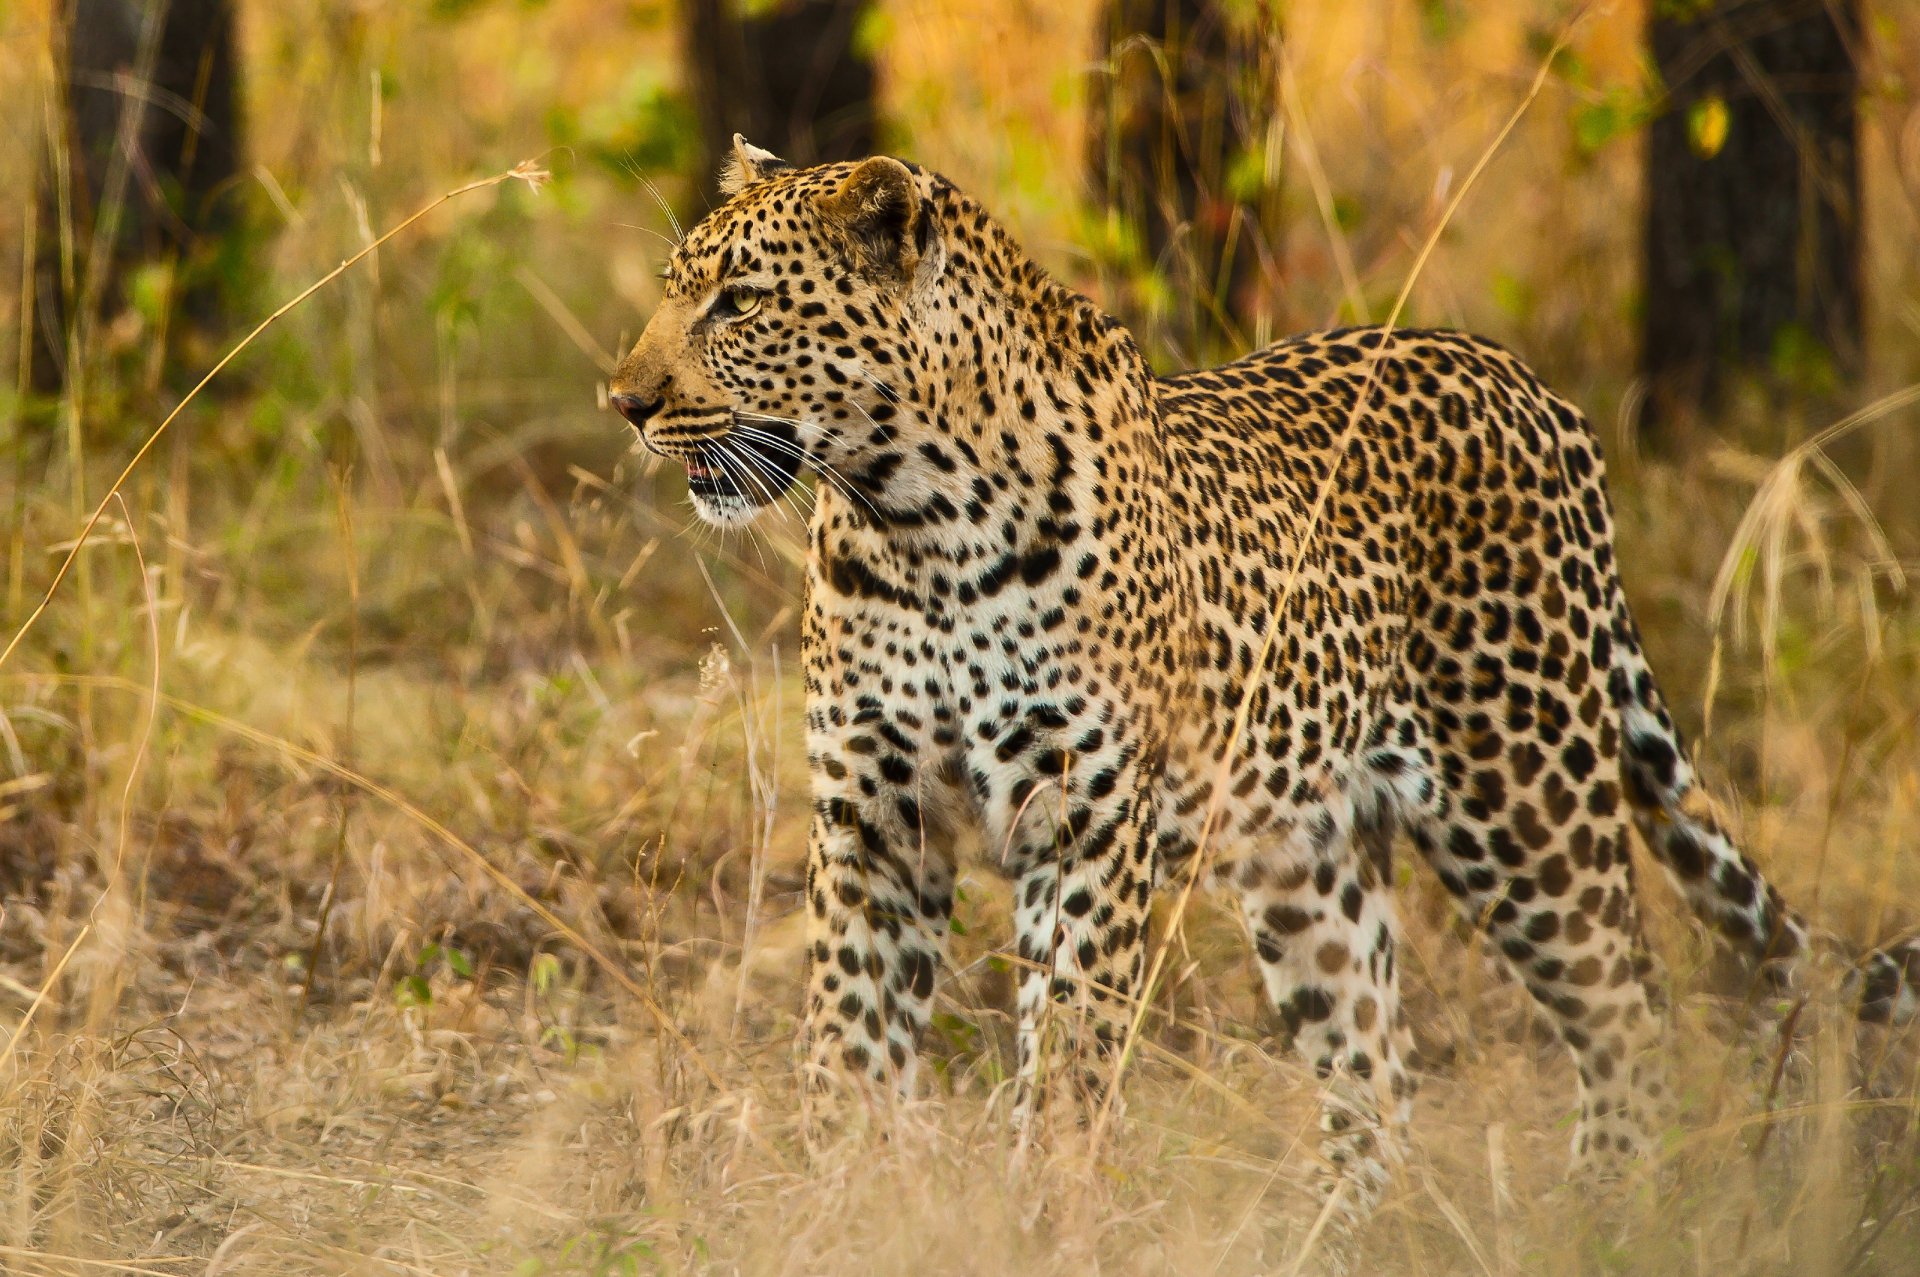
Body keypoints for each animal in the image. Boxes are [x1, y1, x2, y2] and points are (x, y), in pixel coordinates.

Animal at [605, 136, 1920, 1218]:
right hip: (1309, 857)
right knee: (1379, 1070)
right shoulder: (874, 817)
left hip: (1524, 794)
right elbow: (848, 1043)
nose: (625, 400)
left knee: (1632, 1014)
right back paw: (1341, 1237)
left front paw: (1042, 1213)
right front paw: (838, 1204)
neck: (911, 516)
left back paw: (1602, 1215)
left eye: (739, 301)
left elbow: (1066, 1058)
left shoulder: (1086, 824)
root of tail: (1528, 383)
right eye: (674, 287)